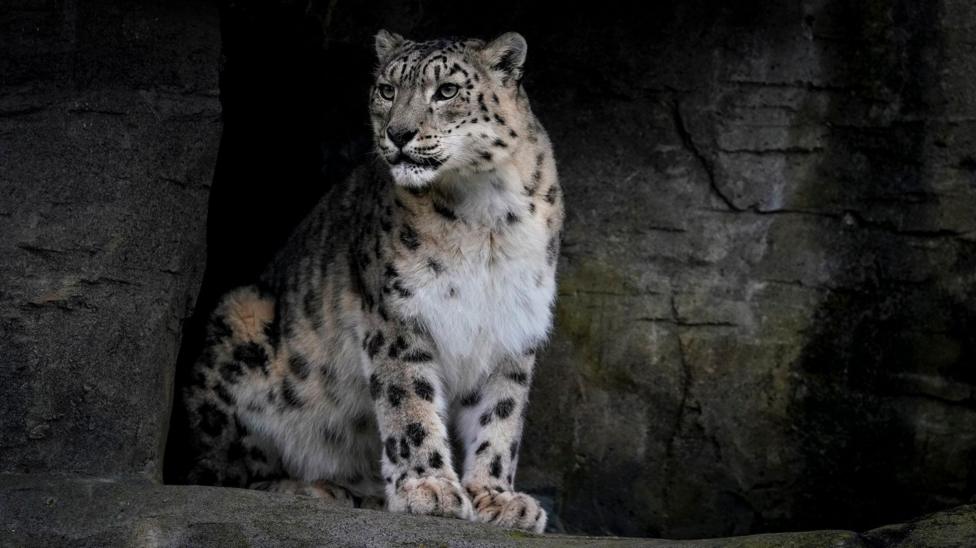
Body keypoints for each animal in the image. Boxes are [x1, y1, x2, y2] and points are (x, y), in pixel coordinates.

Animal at [177, 29, 563, 534]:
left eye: (447, 90)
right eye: (386, 89)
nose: (398, 134)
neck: (486, 213)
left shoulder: (512, 325)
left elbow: (500, 418)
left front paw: (497, 498)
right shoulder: (399, 315)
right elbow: (410, 404)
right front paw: (429, 488)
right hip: (244, 317)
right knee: (221, 472)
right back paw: (318, 489)